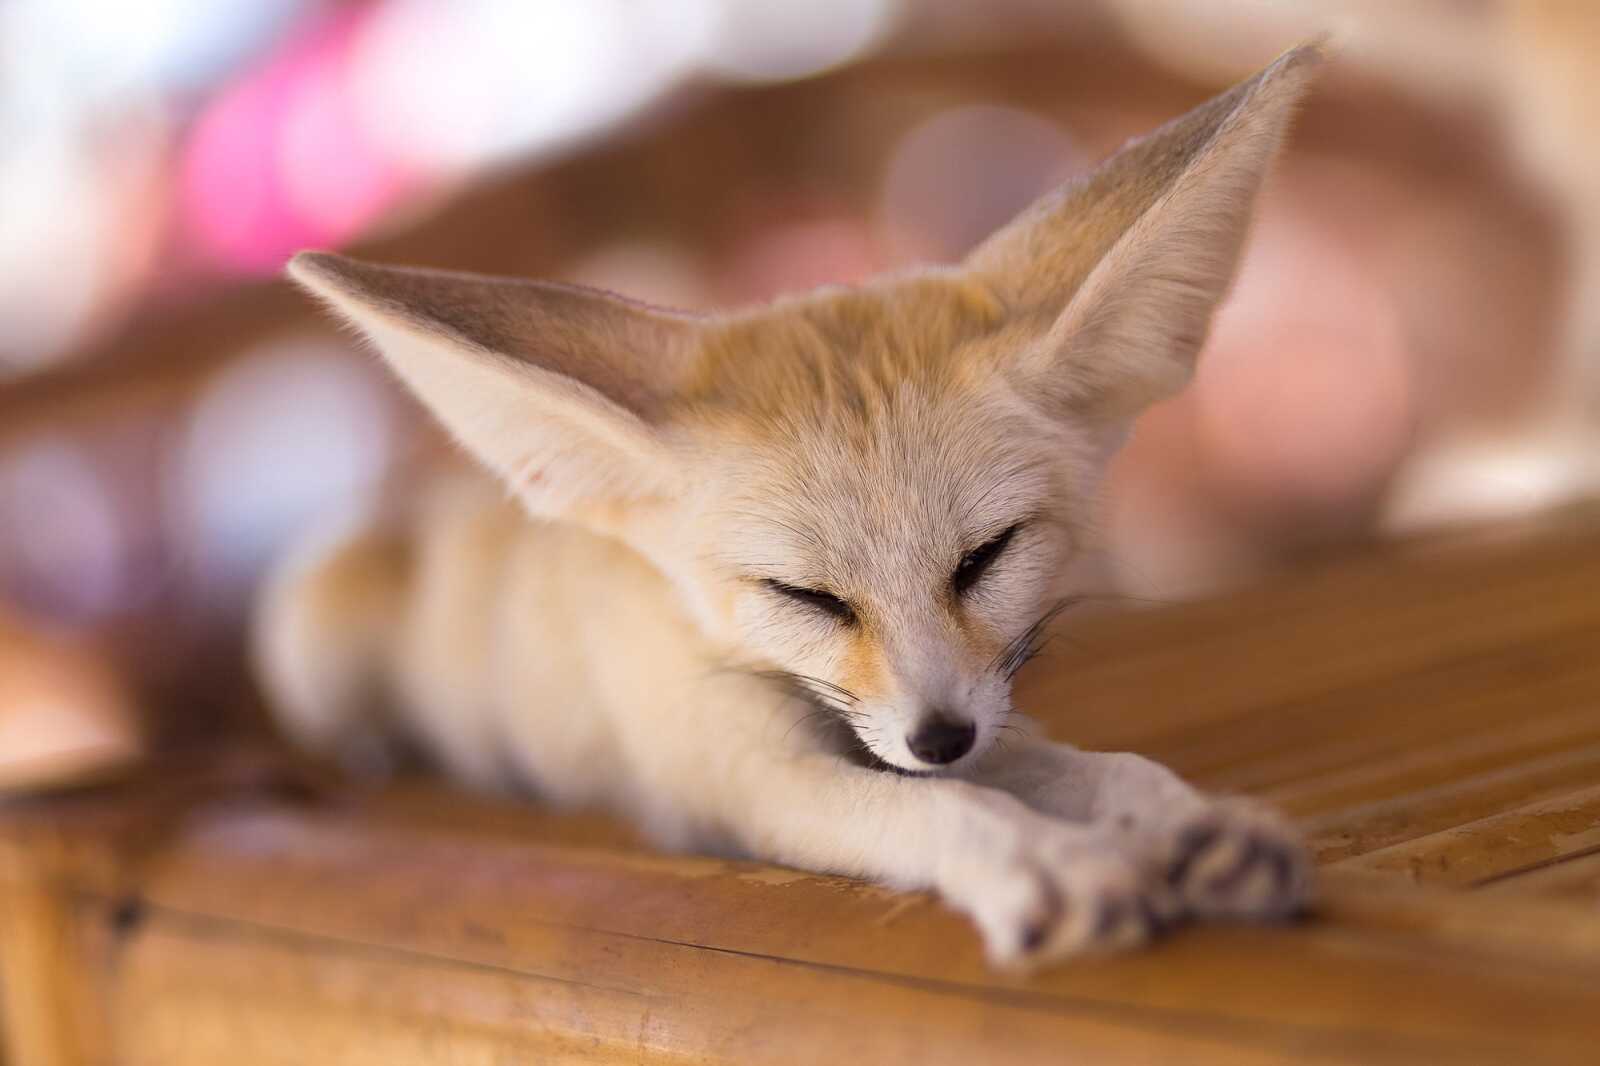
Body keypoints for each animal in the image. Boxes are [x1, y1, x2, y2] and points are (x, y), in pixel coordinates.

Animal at [255, 45, 1320, 968]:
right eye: (805, 597)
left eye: (985, 557)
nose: (941, 738)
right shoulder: (740, 772)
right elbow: (934, 808)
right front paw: (1045, 859)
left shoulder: (942, 717)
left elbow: (1106, 770)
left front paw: (1194, 823)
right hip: (315, 639)